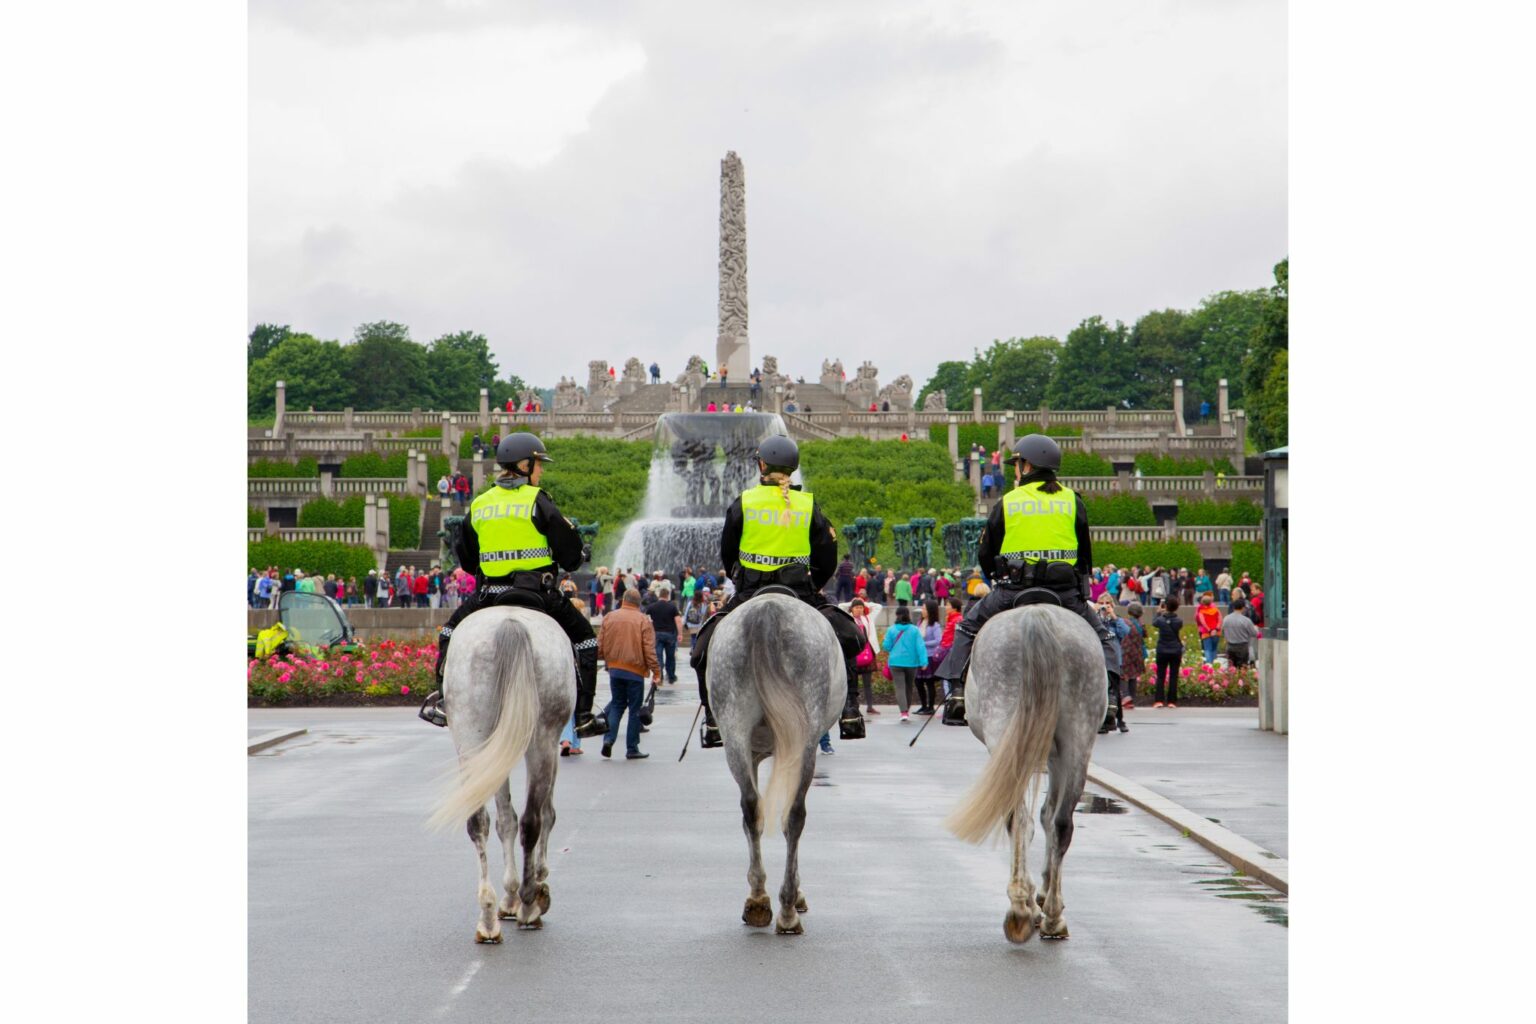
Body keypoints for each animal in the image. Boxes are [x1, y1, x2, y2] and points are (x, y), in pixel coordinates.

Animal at [427, 607, 575, 943]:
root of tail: (510, 623)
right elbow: (545, 815)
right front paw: (532, 888)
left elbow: (505, 820)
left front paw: (510, 896)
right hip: (542, 739)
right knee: (533, 819)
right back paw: (529, 904)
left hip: (472, 735)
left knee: (479, 822)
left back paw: (488, 915)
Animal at [708, 591, 845, 934]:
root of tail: (767, 611)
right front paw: (797, 894)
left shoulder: (755, 752)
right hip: (804, 737)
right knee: (794, 816)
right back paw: (786, 909)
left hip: (734, 727)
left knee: (751, 807)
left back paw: (758, 901)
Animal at [944, 601, 1105, 943]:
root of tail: (1036, 615)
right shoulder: (1056, 755)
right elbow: (1047, 816)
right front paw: (1041, 897)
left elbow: (1037, 817)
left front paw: (1034, 897)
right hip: (1078, 739)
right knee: (1060, 823)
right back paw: (1049, 916)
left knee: (1020, 818)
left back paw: (1023, 908)